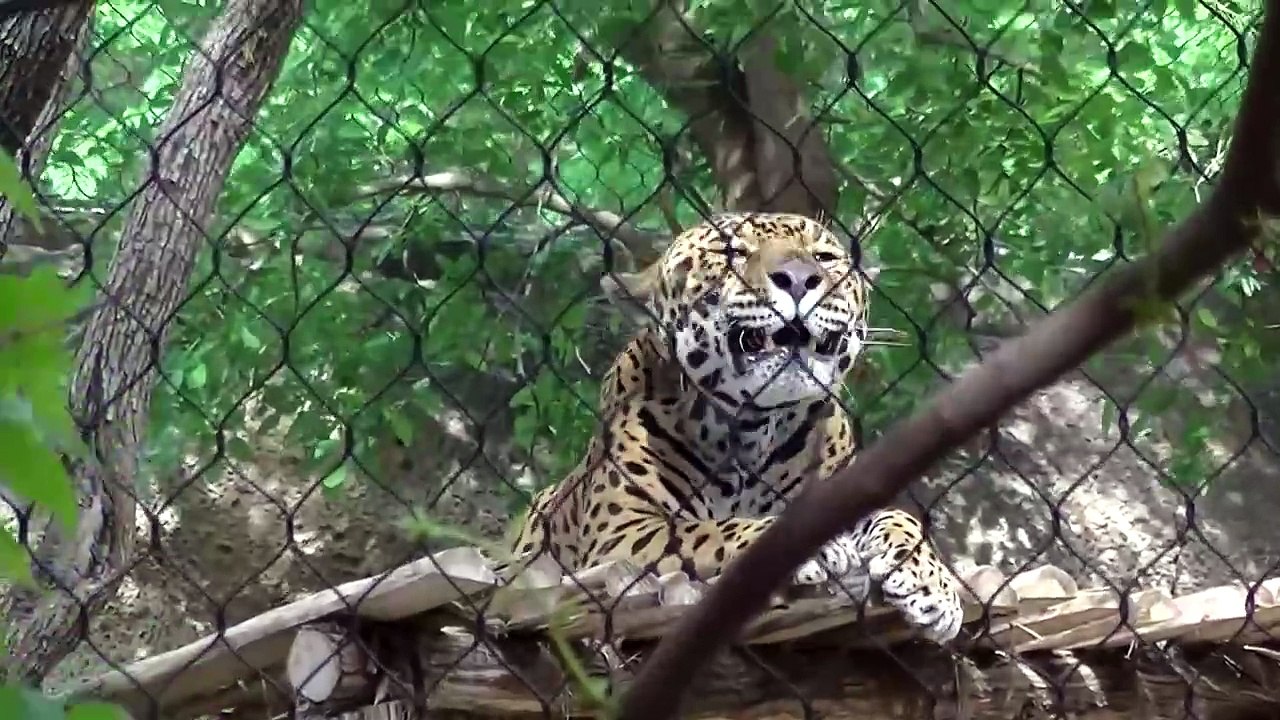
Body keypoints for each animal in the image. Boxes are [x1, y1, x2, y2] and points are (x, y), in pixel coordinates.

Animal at [503, 211, 963, 643]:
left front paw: (932, 584)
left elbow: (898, 517)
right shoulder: (624, 531)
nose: (800, 280)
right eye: (732, 253)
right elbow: (707, 531)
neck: (754, 429)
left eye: (824, 258)